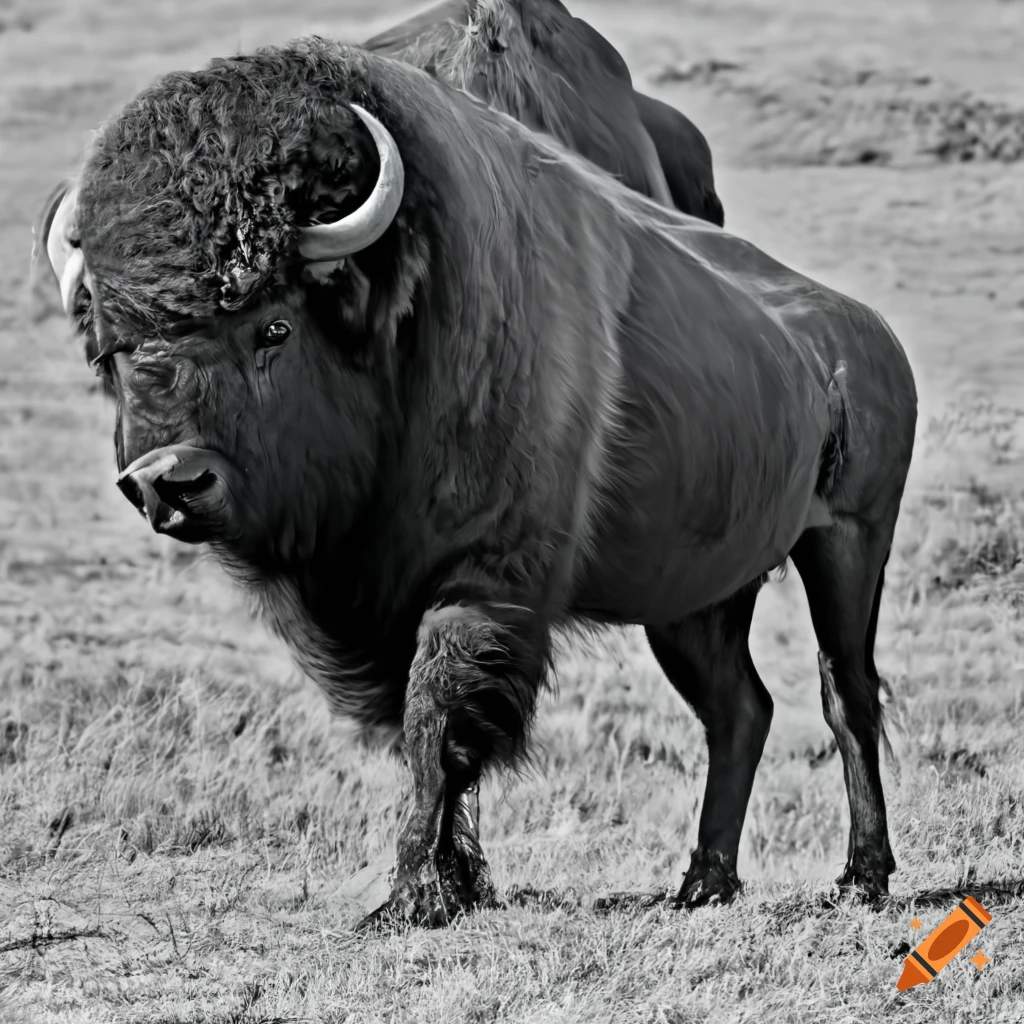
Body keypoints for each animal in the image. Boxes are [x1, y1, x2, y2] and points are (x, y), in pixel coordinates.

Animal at [37, 37, 917, 927]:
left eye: (273, 326)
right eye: (111, 351)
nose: (168, 481)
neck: (402, 328)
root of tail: (866, 335)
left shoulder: (484, 581)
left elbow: (438, 721)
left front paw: (408, 896)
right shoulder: (385, 606)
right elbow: (421, 735)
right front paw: (454, 883)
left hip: (848, 546)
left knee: (846, 692)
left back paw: (862, 877)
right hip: (697, 601)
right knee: (739, 709)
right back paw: (702, 883)